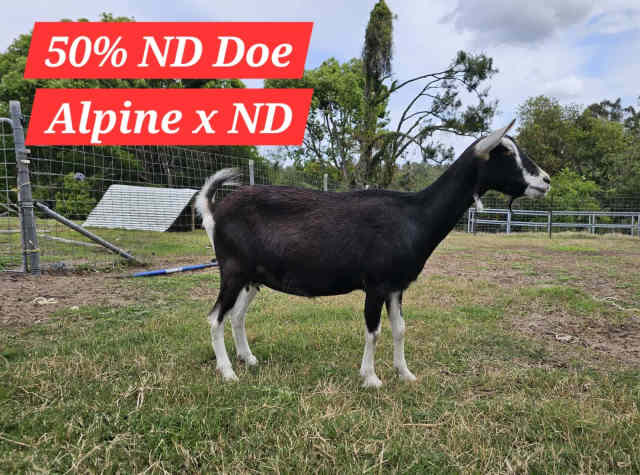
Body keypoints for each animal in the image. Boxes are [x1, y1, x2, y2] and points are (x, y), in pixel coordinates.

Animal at [195, 119, 550, 387]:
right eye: (505, 152)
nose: (546, 180)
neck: (414, 215)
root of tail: (214, 210)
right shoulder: (376, 285)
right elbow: (374, 330)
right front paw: (371, 378)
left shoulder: (396, 287)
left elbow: (400, 329)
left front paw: (405, 374)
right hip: (233, 270)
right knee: (215, 317)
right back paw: (228, 372)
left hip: (252, 277)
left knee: (237, 316)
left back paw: (248, 359)